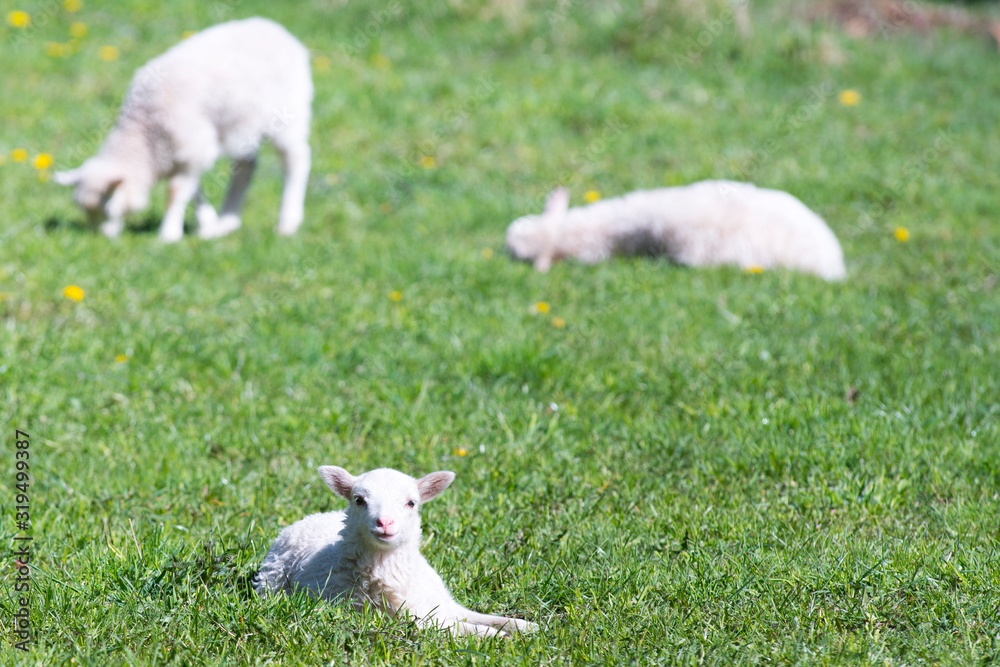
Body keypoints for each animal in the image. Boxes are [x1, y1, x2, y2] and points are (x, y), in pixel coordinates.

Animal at [54, 17, 312, 243]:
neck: (145, 131)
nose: (103, 239)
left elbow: (176, 190)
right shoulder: (186, 150)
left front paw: (168, 234)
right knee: (247, 166)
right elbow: (192, 188)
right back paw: (227, 222)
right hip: (242, 124)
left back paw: (288, 223)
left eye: (108, 210)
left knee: (296, 159)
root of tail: (274, 28)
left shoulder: (191, 144)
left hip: (289, 113)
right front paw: (208, 223)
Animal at [254, 466, 538, 638]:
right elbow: (451, 627)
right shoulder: (399, 618)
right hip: (271, 583)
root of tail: (306, 519)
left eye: (411, 503)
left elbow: (479, 617)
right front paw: (493, 636)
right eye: (359, 500)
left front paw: (522, 626)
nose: (385, 522)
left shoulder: (441, 605)